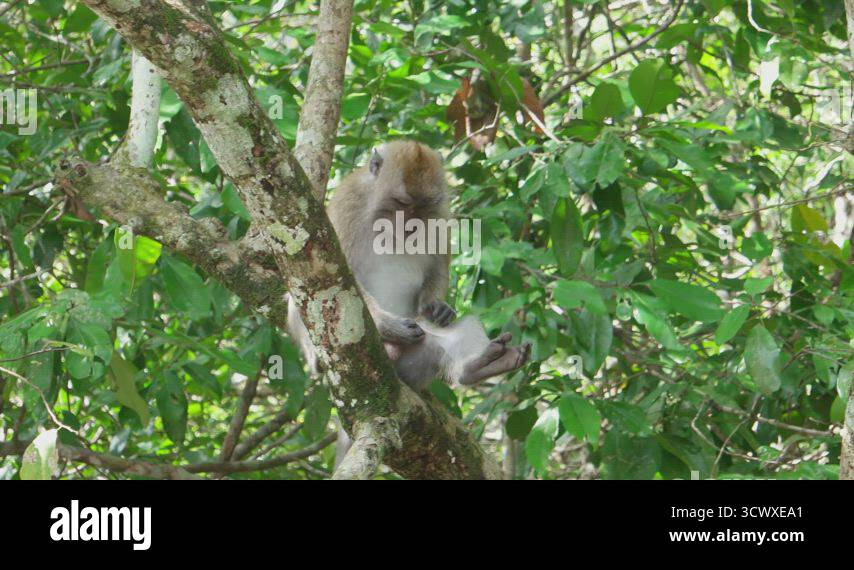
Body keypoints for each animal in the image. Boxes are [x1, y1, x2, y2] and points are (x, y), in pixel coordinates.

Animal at [288, 139, 531, 392]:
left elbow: (437, 265)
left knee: (461, 328)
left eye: (424, 205)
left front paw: (436, 306)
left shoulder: (439, 215)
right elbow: (339, 284)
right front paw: (386, 326)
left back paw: (480, 366)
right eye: (401, 202)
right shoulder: (348, 207)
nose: (411, 225)